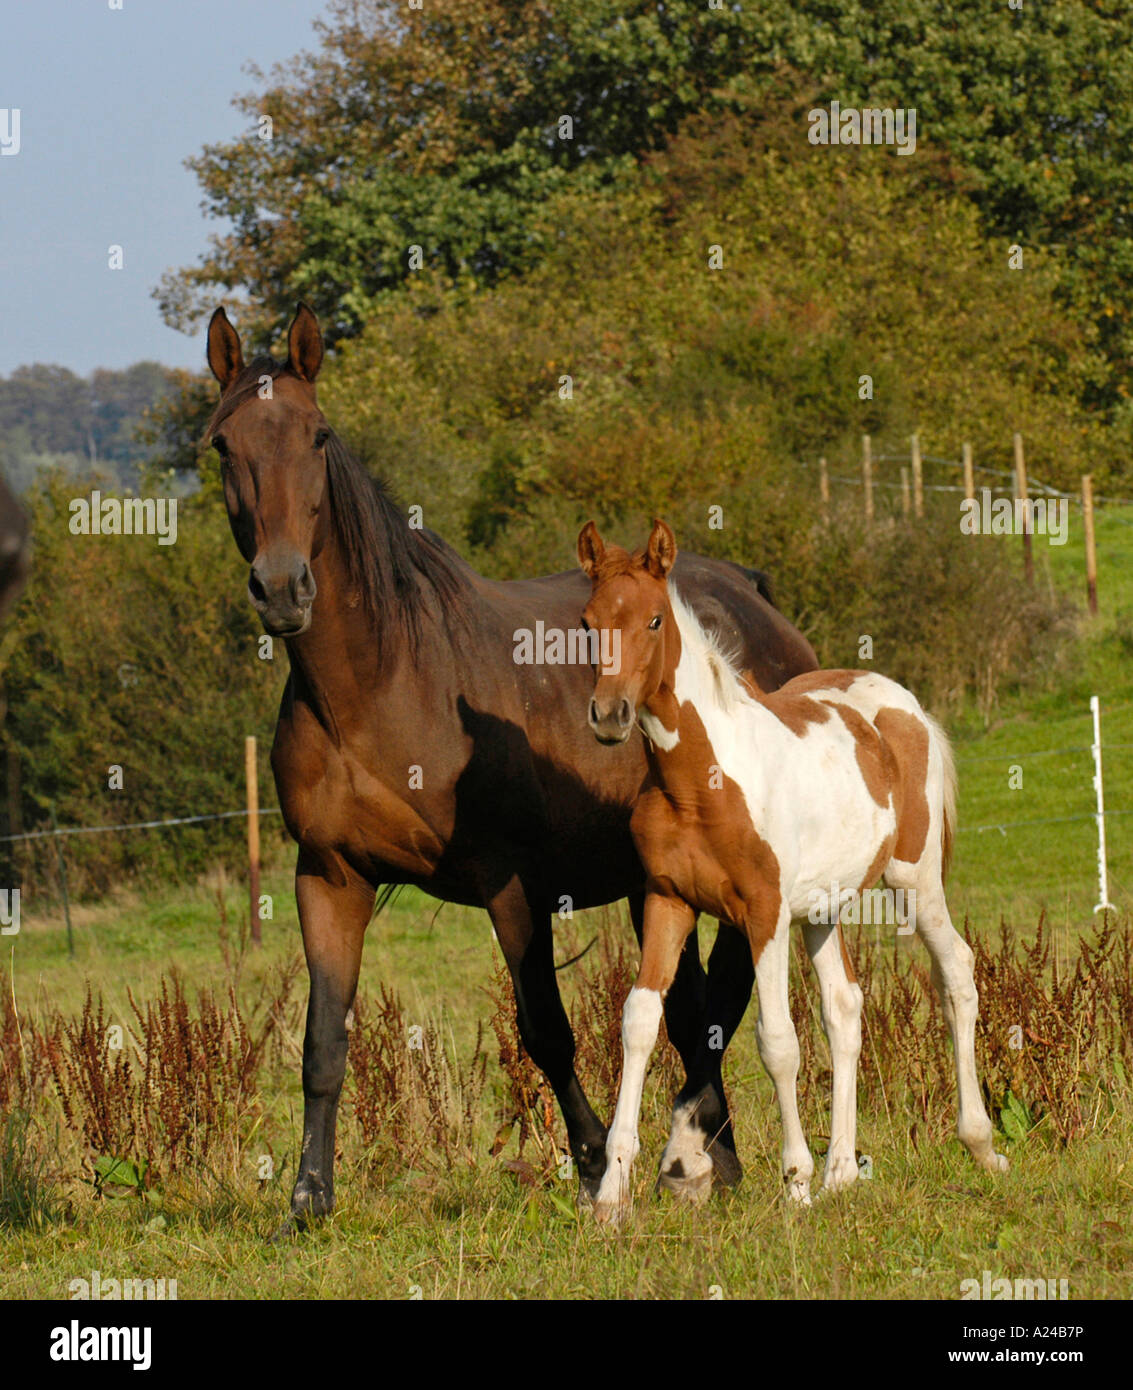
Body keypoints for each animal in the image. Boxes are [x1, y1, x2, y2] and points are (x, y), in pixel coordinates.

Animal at [205, 303, 820, 1223]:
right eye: (222, 444)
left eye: (318, 435)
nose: (282, 589)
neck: (383, 683)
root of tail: (754, 597)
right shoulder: (329, 876)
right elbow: (322, 1039)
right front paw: (309, 1197)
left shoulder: (510, 882)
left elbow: (547, 1030)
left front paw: (595, 1163)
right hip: (652, 882)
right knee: (690, 1012)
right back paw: (712, 1156)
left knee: (721, 1000)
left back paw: (690, 1152)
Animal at [577, 517, 1008, 1220]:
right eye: (588, 623)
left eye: (653, 620)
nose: (610, 716)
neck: (700, 782)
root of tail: (905, 703)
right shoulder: (668, 901)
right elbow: (638, 1021)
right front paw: (612, 1196)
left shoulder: (763, 913)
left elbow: (777, 1042)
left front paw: (795, 1184)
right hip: (822, 910)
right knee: (845, 1008)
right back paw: (843, 1172)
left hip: (914, 883)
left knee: (958, 974)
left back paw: (979, 1146)